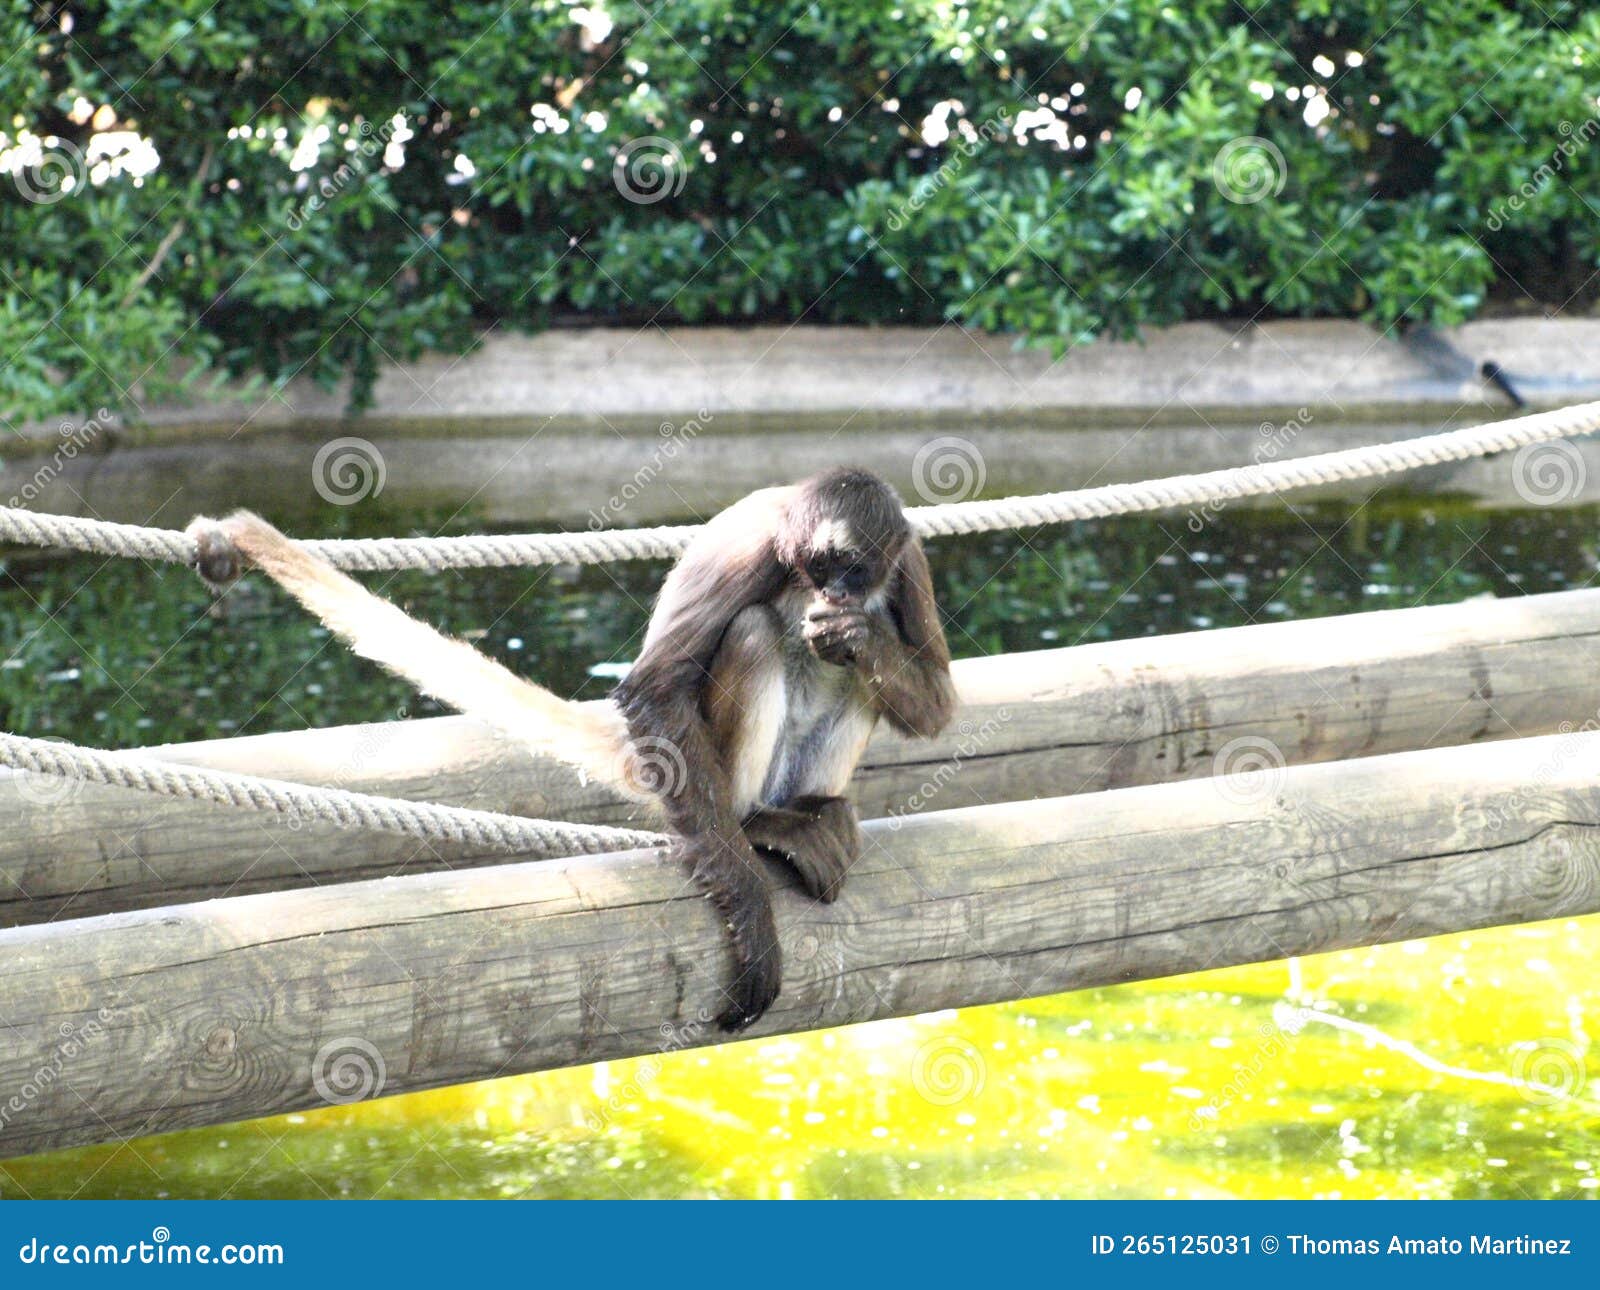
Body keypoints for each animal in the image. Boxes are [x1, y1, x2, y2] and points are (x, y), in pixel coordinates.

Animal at [194, 467, 955, 1031]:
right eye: (822, 563)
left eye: (854, 570)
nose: (835, 591)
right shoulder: (756, 548)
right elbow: (654, 690)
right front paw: (751, 921)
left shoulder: (907, 559)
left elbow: (939, 702)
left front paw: (857, 632)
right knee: (755, 631)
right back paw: (759, 825)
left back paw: (812, 807)